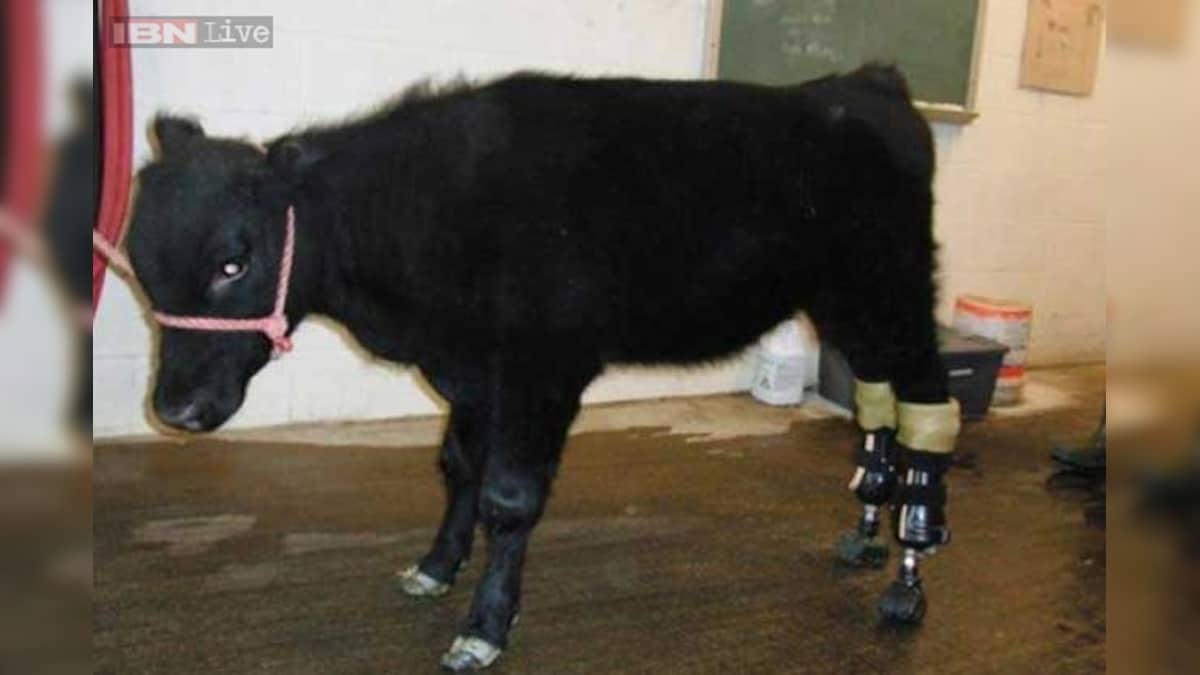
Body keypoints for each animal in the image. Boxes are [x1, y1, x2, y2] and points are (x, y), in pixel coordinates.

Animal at [123, 65, 961, 671]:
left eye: (234, 260)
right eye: (139, 264)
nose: (177, 409)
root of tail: (865, 84)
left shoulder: (542, 367)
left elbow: (509, 497)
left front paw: (485, 626)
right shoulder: (466, 370)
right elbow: (458, 465)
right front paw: (435, 566)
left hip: (895, 289)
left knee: (927, 401)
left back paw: (911, 562)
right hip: (845, 304)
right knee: (877, 398)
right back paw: (866, 523)